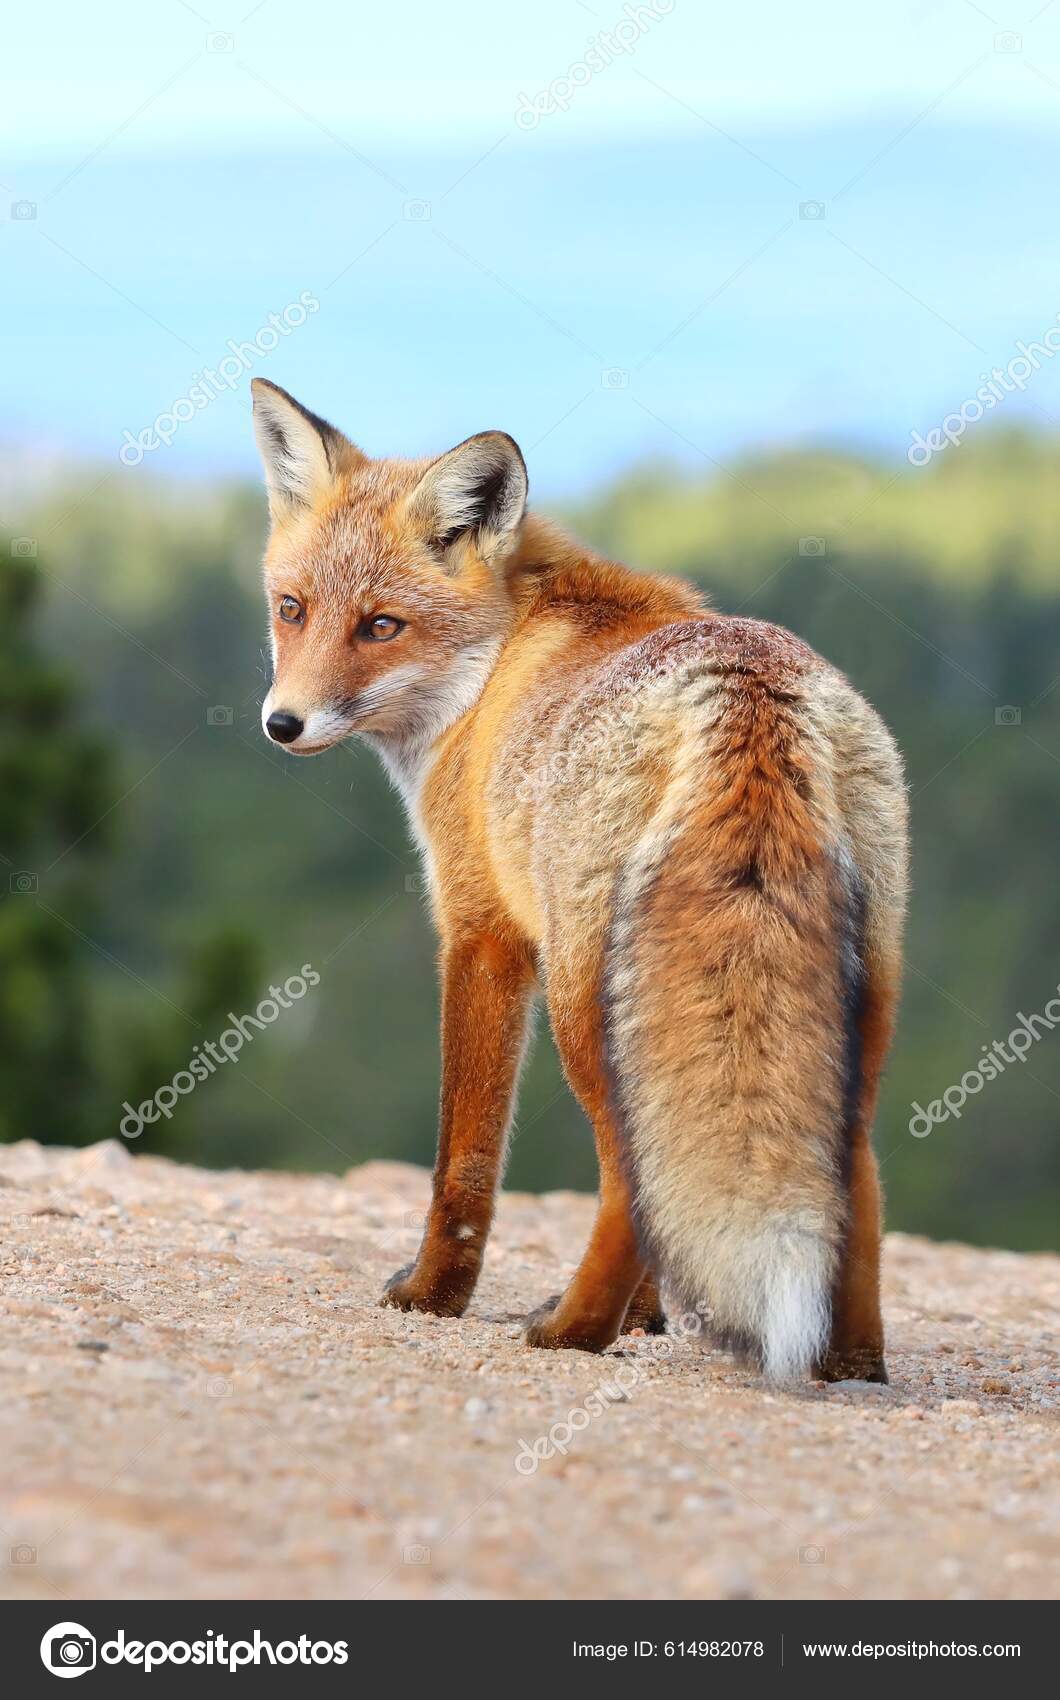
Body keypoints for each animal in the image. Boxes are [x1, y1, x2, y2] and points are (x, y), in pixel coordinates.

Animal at [250, 376, 908, 1384]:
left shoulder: (482, 931)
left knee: (631, 1177)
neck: (489, 670)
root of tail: (749, 689)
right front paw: (649, 1320)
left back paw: (572, 1330)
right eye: (292, 609)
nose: (282, 725)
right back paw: (853, 1364)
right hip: (855, 1002)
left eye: (381, 626)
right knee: (859, 1174)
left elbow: (464, 1161)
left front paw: (435, 1296)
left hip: (583, 992)